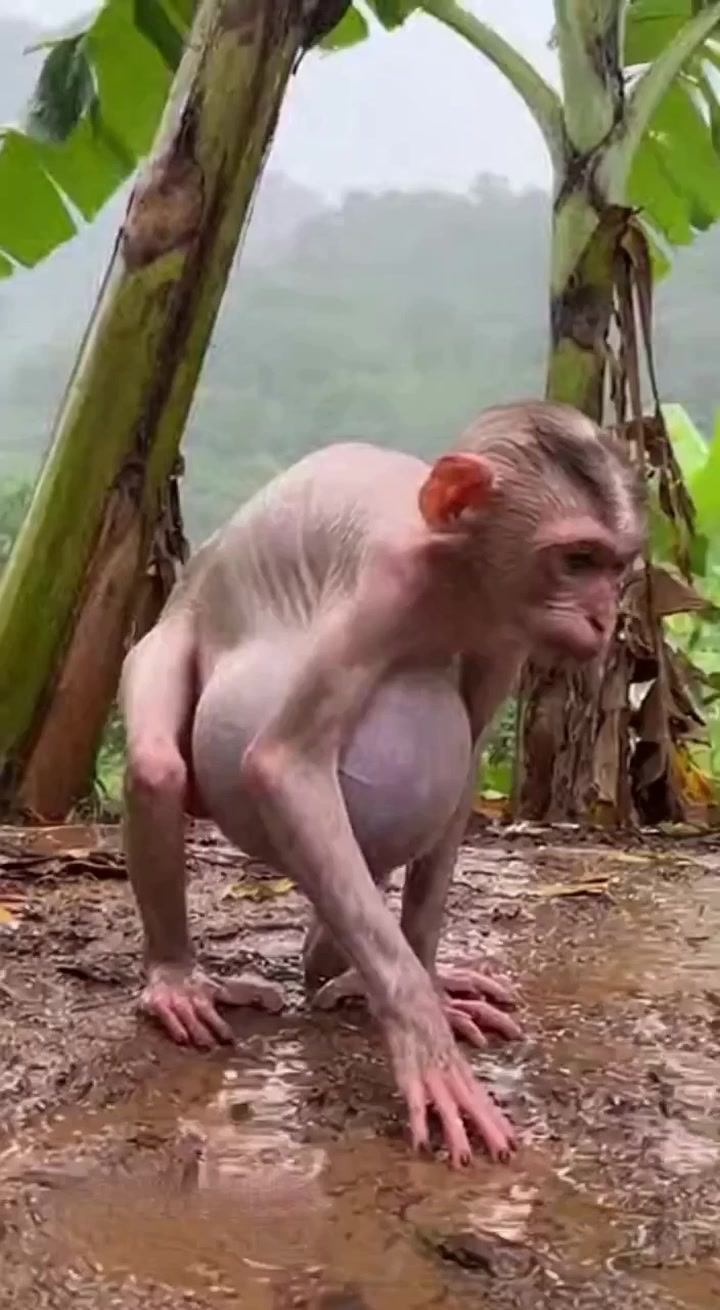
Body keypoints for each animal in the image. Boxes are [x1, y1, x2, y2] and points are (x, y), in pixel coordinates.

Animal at [120, 400, 644, 1169]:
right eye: (577, 560)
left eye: (617, 566)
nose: (604, 616)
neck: (455, 567)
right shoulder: (385, 592)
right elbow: (281, 765)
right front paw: (419, 1027)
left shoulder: (505, 629)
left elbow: (463, 770)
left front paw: (426, 979)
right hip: (165, 634)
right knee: (158, 766)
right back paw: (177, 977)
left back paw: (328, 961)